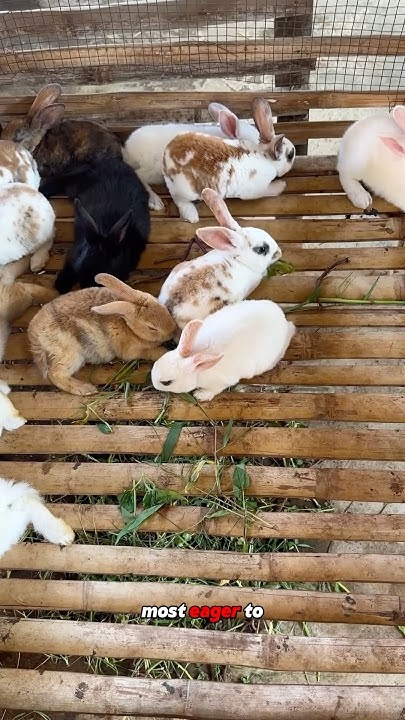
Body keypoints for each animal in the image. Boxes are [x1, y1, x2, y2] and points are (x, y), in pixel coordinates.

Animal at [28, 272, 177, 396]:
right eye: (152, 327)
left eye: (163, 307)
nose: (173, 330)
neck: (127, 324)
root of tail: (34, 337)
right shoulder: (133, 351)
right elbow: (152, 352)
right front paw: (164, 352)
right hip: (69, 355)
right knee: (55, 374)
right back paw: (86, 389)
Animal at [151, 299, 296, 401]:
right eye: (156, 363)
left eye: (166, 383)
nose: (153, 382)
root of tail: (281, 316)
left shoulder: (219, 383)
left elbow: (214, 390)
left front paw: (200, 395)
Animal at [162, 97, 296, 223]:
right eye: (290, 155)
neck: (265, 156)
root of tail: (167, 156)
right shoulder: (257, 190)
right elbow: (271, 190)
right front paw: (282, 185)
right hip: (185, 191)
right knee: (179, 199)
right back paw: (192, 216)